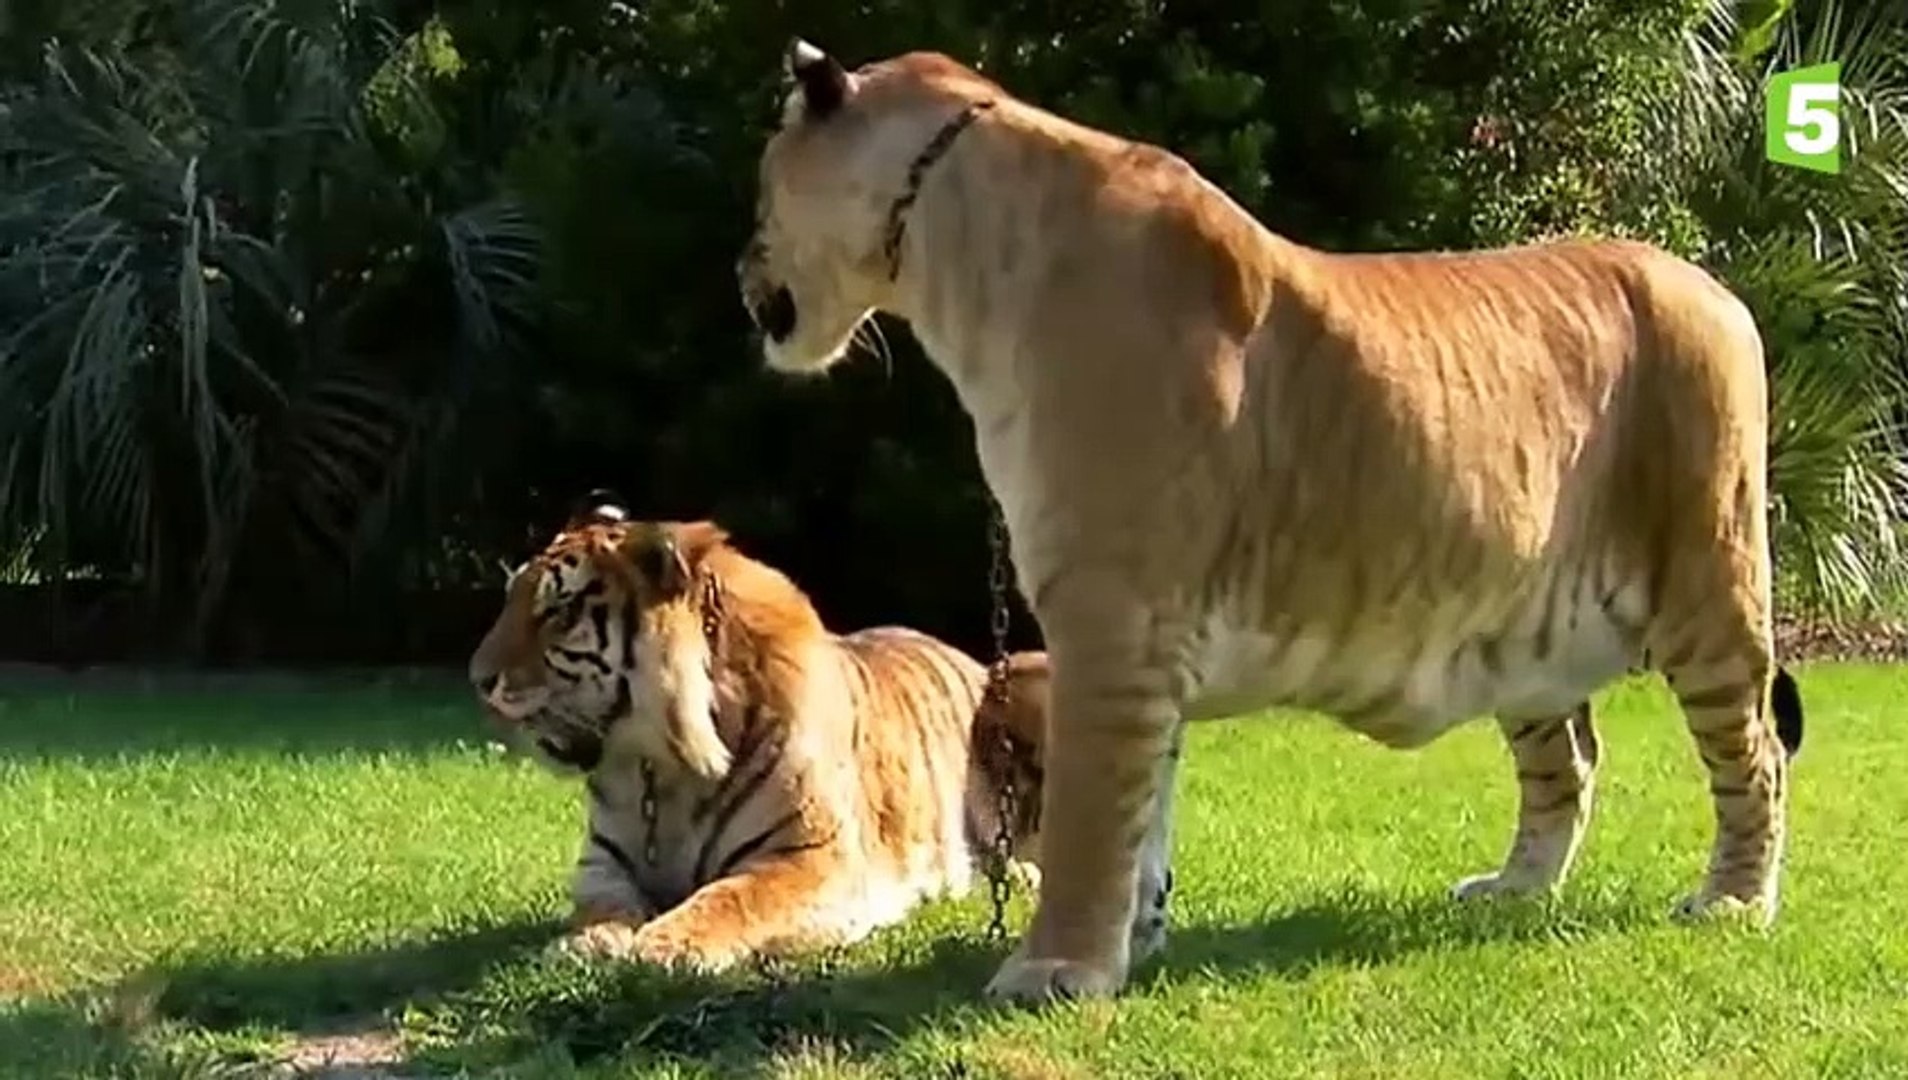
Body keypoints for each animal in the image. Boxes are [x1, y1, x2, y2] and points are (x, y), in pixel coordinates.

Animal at [466, 500, 1046, 973]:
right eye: (512, 599)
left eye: (559, 610)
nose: (478, 679)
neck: (657, 767)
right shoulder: (603, 868)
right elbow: (600, 908)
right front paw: (583, 943)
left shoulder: (810, 856)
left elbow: (734, 896)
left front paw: (666, 946)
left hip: (1025, 673)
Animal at [732, 39, 1807, 1005]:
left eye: (761, 192)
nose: (741, 270)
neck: (961, 251)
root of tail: (1713, 284)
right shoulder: (1141, 641)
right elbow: (1144, 810)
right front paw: (1136, 941)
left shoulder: (1108, 620)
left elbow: (1090, 815)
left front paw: (1053, 971)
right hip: (1525, 631)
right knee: (1567, 764)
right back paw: (1513, 890)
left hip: (1711, 588)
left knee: (1753, 757)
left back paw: (1731, 903)